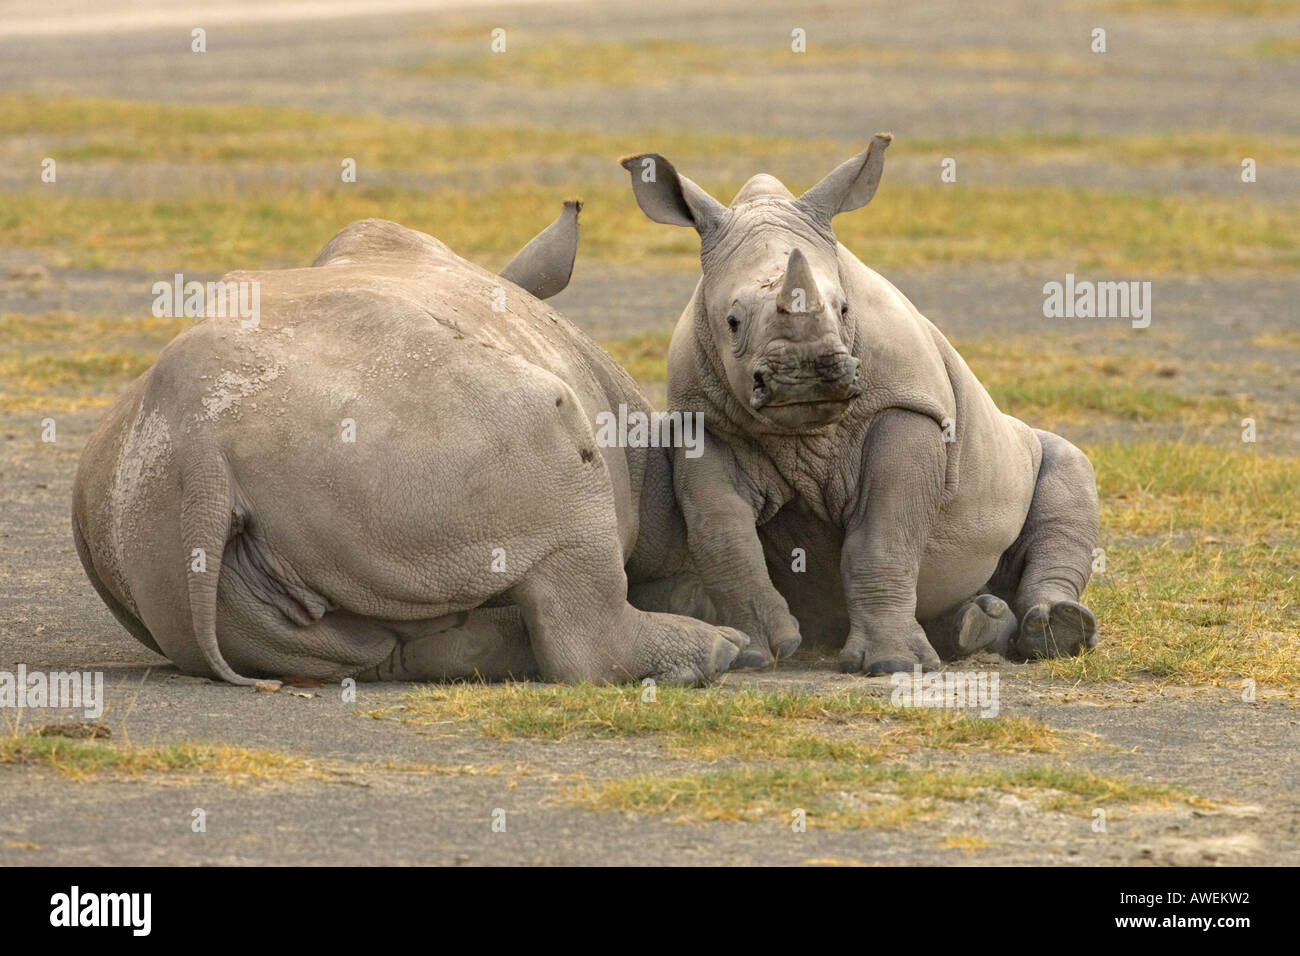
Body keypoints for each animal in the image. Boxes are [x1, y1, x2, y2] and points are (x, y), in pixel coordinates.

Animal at [620, 136, 1100, 674]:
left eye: (844, 308)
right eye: (732, 321)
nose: (805, 375)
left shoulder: (906, 408)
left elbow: (883, 537)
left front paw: (894, 665)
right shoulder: (705, 423)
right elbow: (723, 537)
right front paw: (757, 653)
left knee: (1067, 472)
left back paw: (1053, 629)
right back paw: (976, 625)